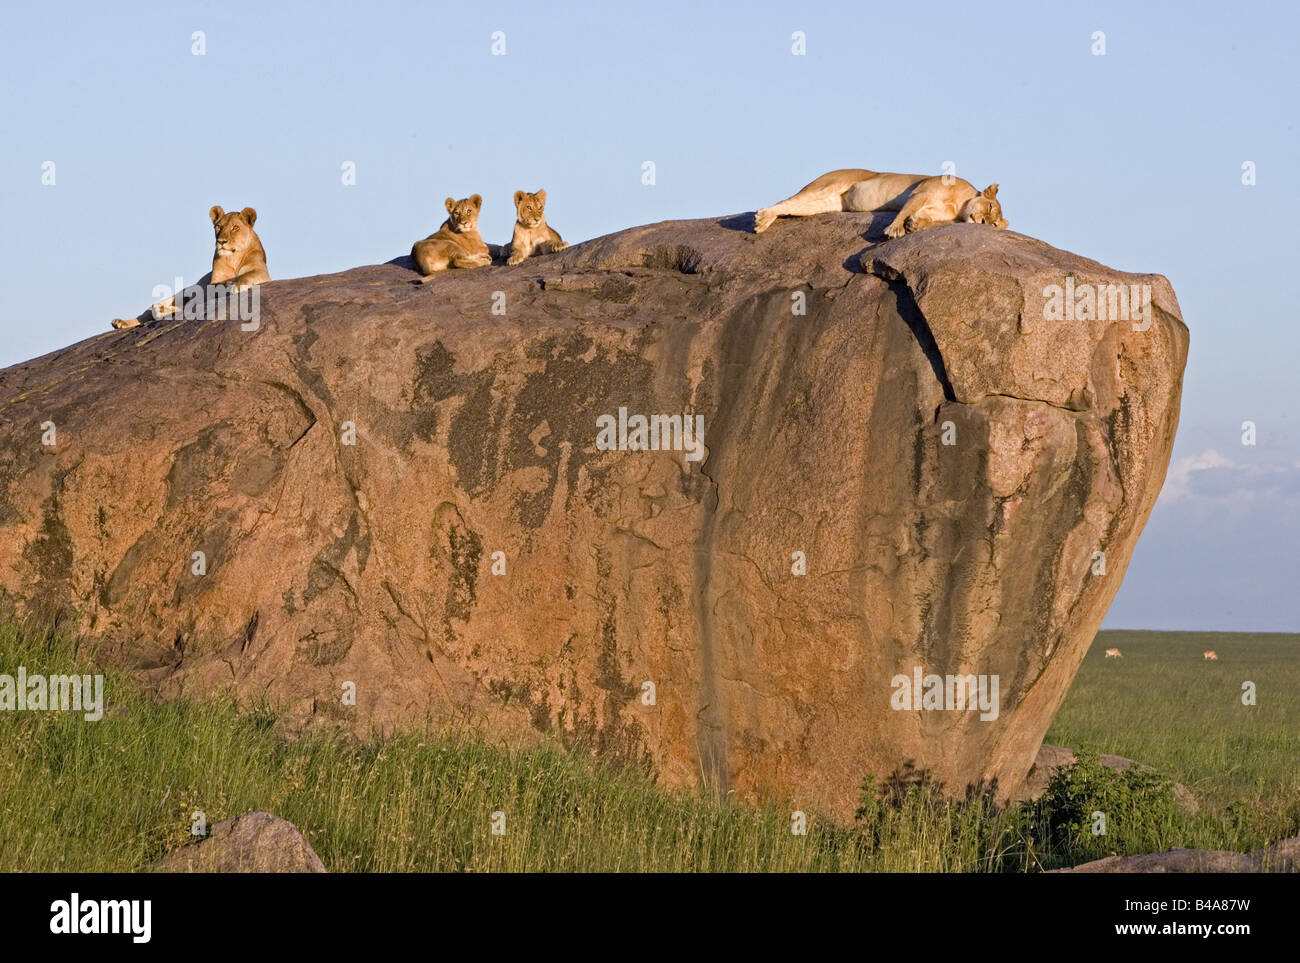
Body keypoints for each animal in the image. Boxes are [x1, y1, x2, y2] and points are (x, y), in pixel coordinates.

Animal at [111, 206, 270, 329]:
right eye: (219, 226)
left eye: (235, 227)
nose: (221, 241)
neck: (233, 258)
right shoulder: (214, 281)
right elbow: (218, 285)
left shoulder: (262, 272)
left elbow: (248, 275)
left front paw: (236, 285)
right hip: (184, 291)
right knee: (151, 310)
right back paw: (121, 322)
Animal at [752, 168, 1008, 238]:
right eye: (990, 208)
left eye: (995, 224)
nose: (984, 222)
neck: (960, 205)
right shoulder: (921, 192)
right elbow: (905, 210)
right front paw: (895, 229)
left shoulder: (939, 210)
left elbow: (925, 217)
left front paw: (915, 225)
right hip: (828, 184)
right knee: (786, 200)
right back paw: (762, 217)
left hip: (825, 203)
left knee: (792, 206)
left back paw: (764, 220)